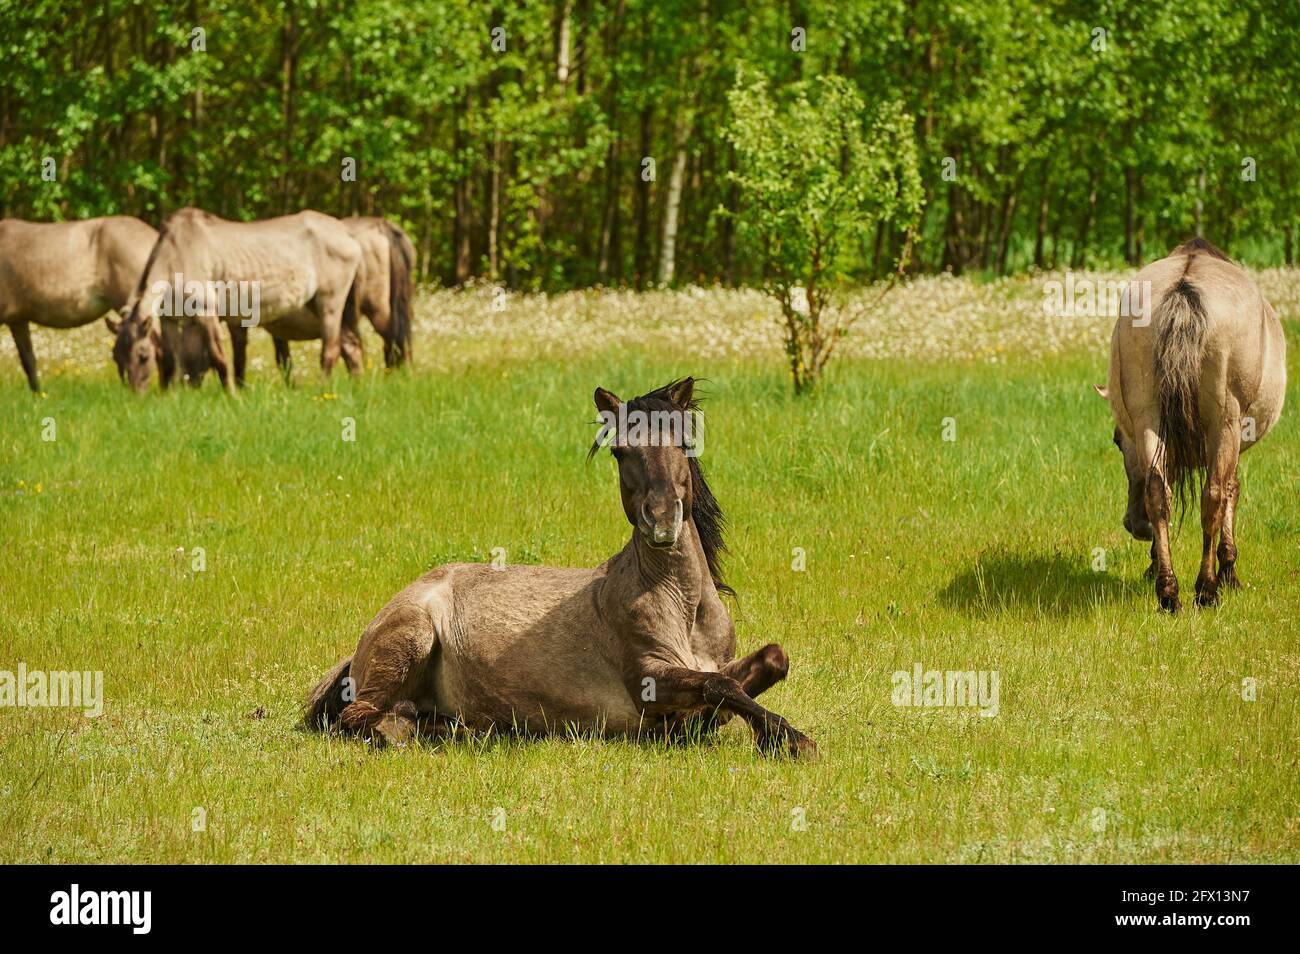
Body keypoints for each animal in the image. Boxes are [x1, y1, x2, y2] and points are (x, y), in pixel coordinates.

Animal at [111, 208, 362, 392]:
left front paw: (232, 395)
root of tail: (347, 233)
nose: (136, 395)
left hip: (329, 305)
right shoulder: (170, 320)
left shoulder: (206, 313)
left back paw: (322, 390)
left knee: (331, 351)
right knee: (351, 348)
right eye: (116, 357)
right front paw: (170, 397)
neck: (176, 255)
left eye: (143, 356)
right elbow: (173, 362)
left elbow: (219, 358)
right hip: (316, 306)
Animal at [304, 378, 817, 759]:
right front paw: (792, 740)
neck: (683, 604)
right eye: (619, 452)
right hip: (411, 637)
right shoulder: (650, 678)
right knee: (362, 719)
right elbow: (718, 686)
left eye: (684, 440)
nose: (662, 520)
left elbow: (763, 664)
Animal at [1096, 238, 1286, 612]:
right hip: (1224, 423)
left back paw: (1169, 592)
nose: (1135, 525)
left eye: (1116, 440)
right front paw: (1229, 570)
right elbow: (1231, 491)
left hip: (1149, 417)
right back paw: (1206, 589)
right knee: (1212, 496)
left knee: (1158, 491)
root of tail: (1184, 288)